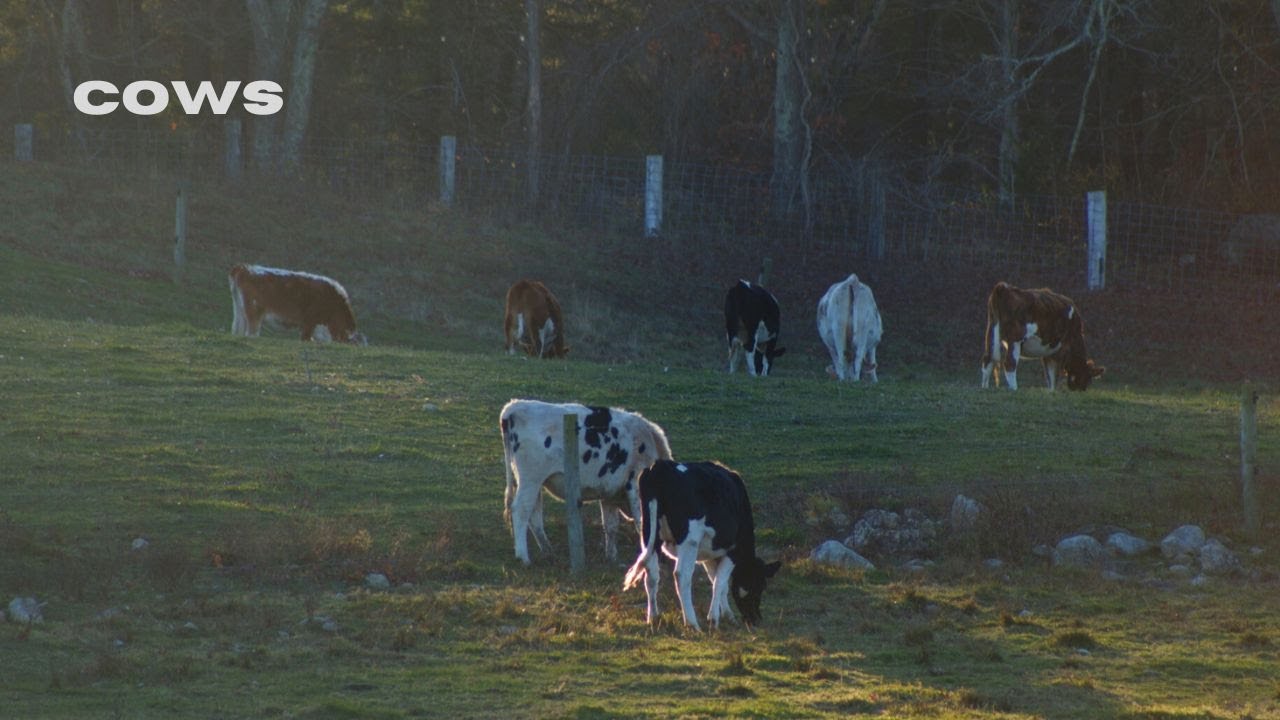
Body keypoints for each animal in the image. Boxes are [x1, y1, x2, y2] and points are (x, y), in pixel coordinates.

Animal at [228, 264, 366, 344]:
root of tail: (244, 268)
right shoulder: (309, 322)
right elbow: (306, 338)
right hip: (254, 312)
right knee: (251, 333)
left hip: (240, 313)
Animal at [500, 399, 672, 565]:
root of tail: (516, 405)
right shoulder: (635, 486)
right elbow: (641, 522)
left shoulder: (609, 491)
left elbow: (611, 526)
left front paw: (612, 558)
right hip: (531, 479)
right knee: (521, 510)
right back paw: (523, 557)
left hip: (532, 483)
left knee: (534, 516)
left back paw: (548, 551)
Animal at [623, 460, 780, 632]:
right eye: (760, 586)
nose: (756, 620)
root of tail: (661, 465)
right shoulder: (733, 551)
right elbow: (719, 581)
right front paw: (714, 618)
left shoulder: (709, 554)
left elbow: (717, 581)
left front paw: (727, 615)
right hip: (689, 540)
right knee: (681, 575)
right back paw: (692, 623)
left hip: (649, 534)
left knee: (651, 574)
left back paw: (653, 618)